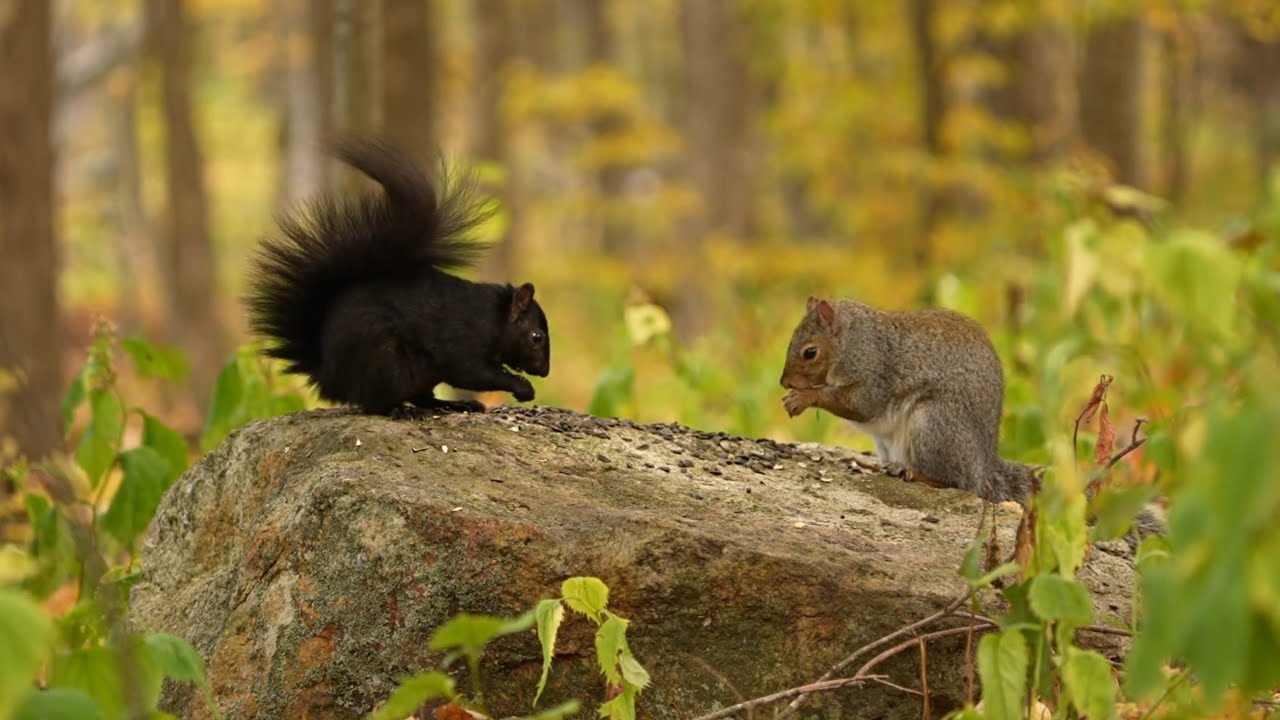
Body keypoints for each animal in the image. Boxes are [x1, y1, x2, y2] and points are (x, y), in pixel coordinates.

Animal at [244, 135, 551, 417]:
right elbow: (474, 373)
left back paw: (451, 404)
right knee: (377, 403)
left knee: (423, 397)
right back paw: (401, 410)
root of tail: (328, 375)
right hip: (386, 363)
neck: (495, 317)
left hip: (420, 374)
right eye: (536, 337)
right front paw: (522, 387)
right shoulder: (464, 342)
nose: (545, 372)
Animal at [779, 297, 1040, 505]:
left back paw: (912, 472)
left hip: (934, 425)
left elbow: (860, 405)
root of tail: (982, 470)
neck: (852, 341)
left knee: (953, 480)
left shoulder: (873, 372)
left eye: (810, 352)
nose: (785, 382)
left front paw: (802, 398)